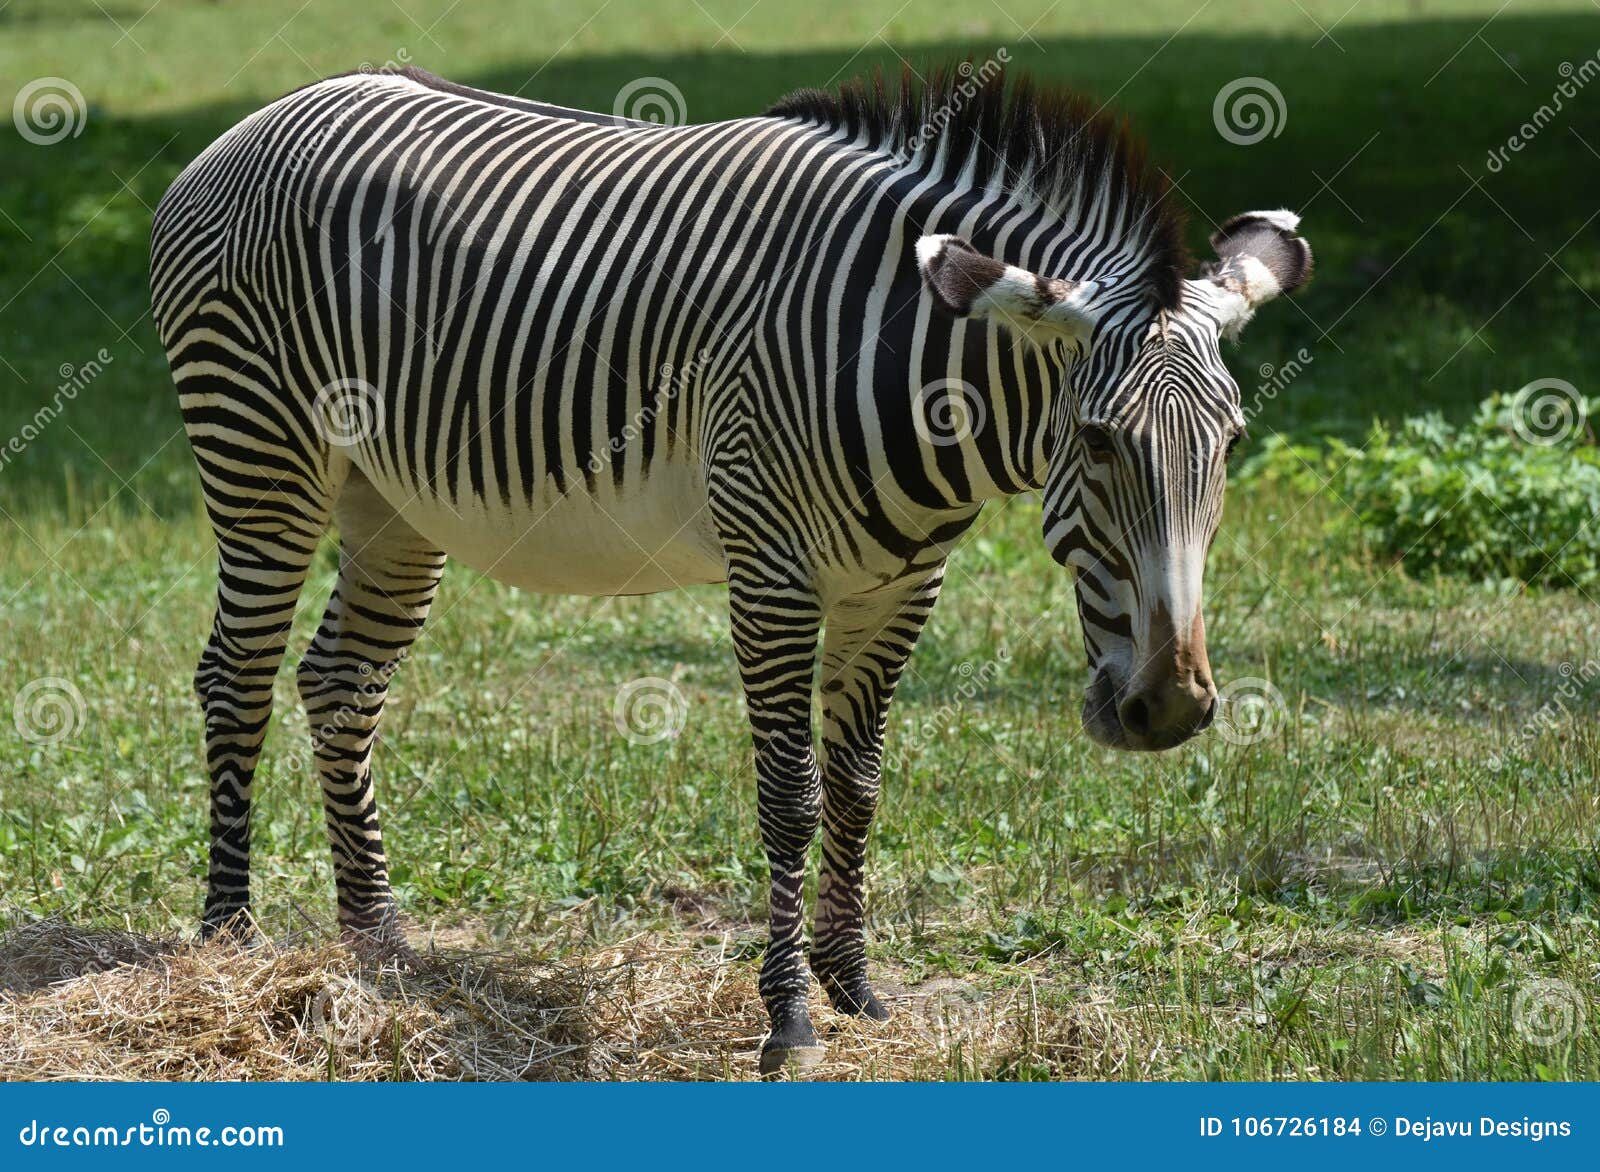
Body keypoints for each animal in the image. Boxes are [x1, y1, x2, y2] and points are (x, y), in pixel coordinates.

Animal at [150, 63, 1312, 1074]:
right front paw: (788, 1019)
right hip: (259, 447)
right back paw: (230, 937)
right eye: (1100, 441)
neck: (913, 364)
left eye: (1231, 440)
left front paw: (854, 988)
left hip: (391, 501)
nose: (1172, 707)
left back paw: (376, 942)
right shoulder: (771, 568)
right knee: (235, 677)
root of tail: (271, 110)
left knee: (340, 683)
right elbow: (791, 794)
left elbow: (858, 784)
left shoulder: (901, 586)